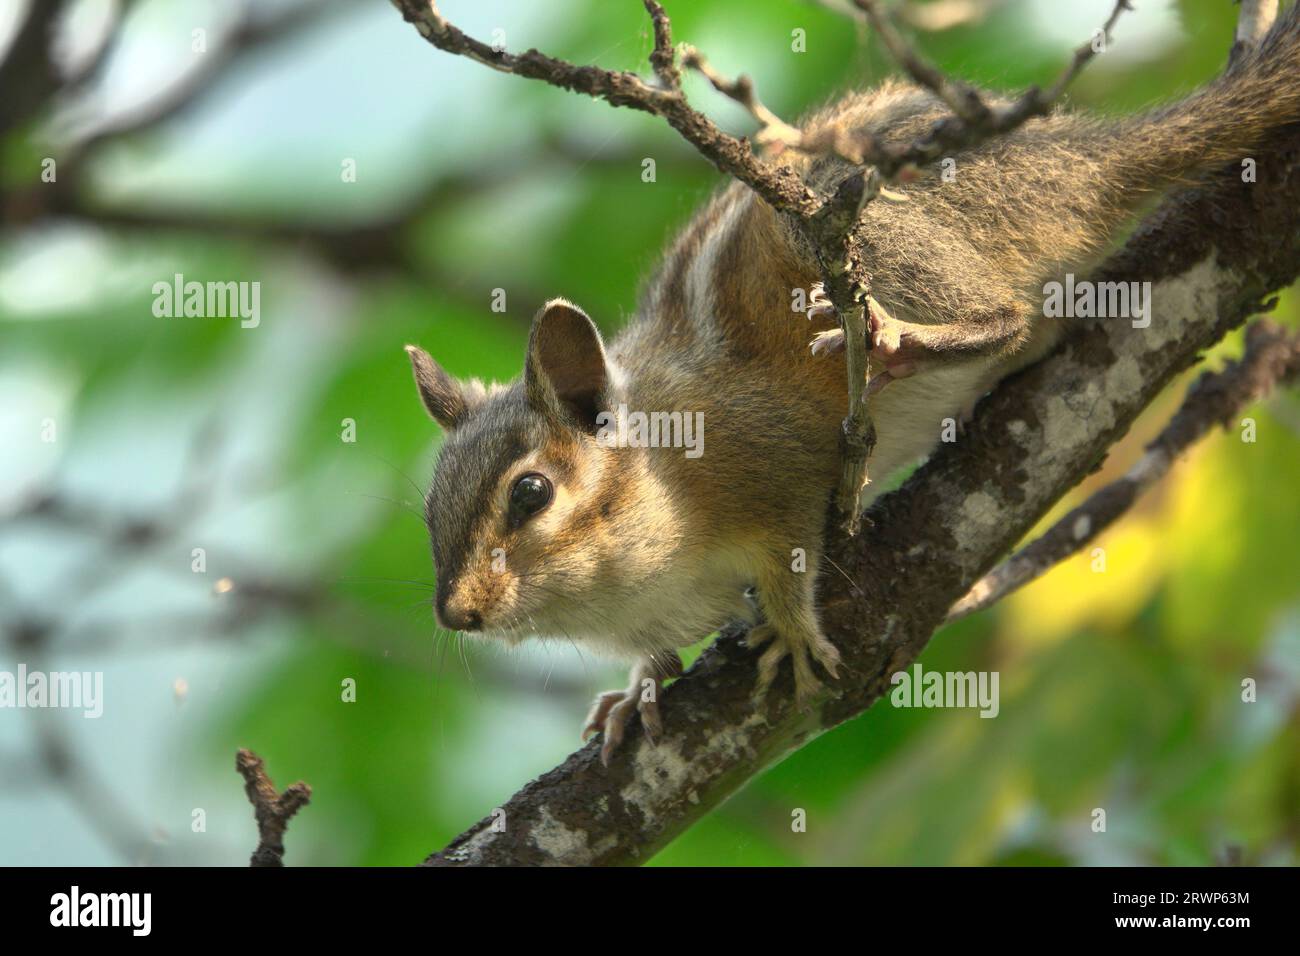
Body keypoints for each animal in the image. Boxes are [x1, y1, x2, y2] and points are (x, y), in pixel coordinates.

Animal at [405, 7, 1300, 763]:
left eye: (530, 495)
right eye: (430, 510)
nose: (456, 613)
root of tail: (1076, 157)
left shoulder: (773, 470)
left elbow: (792, 558)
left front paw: (792, 630)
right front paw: (637, 691)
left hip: (868, 231)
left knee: (1004, 312)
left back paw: (909, 342)